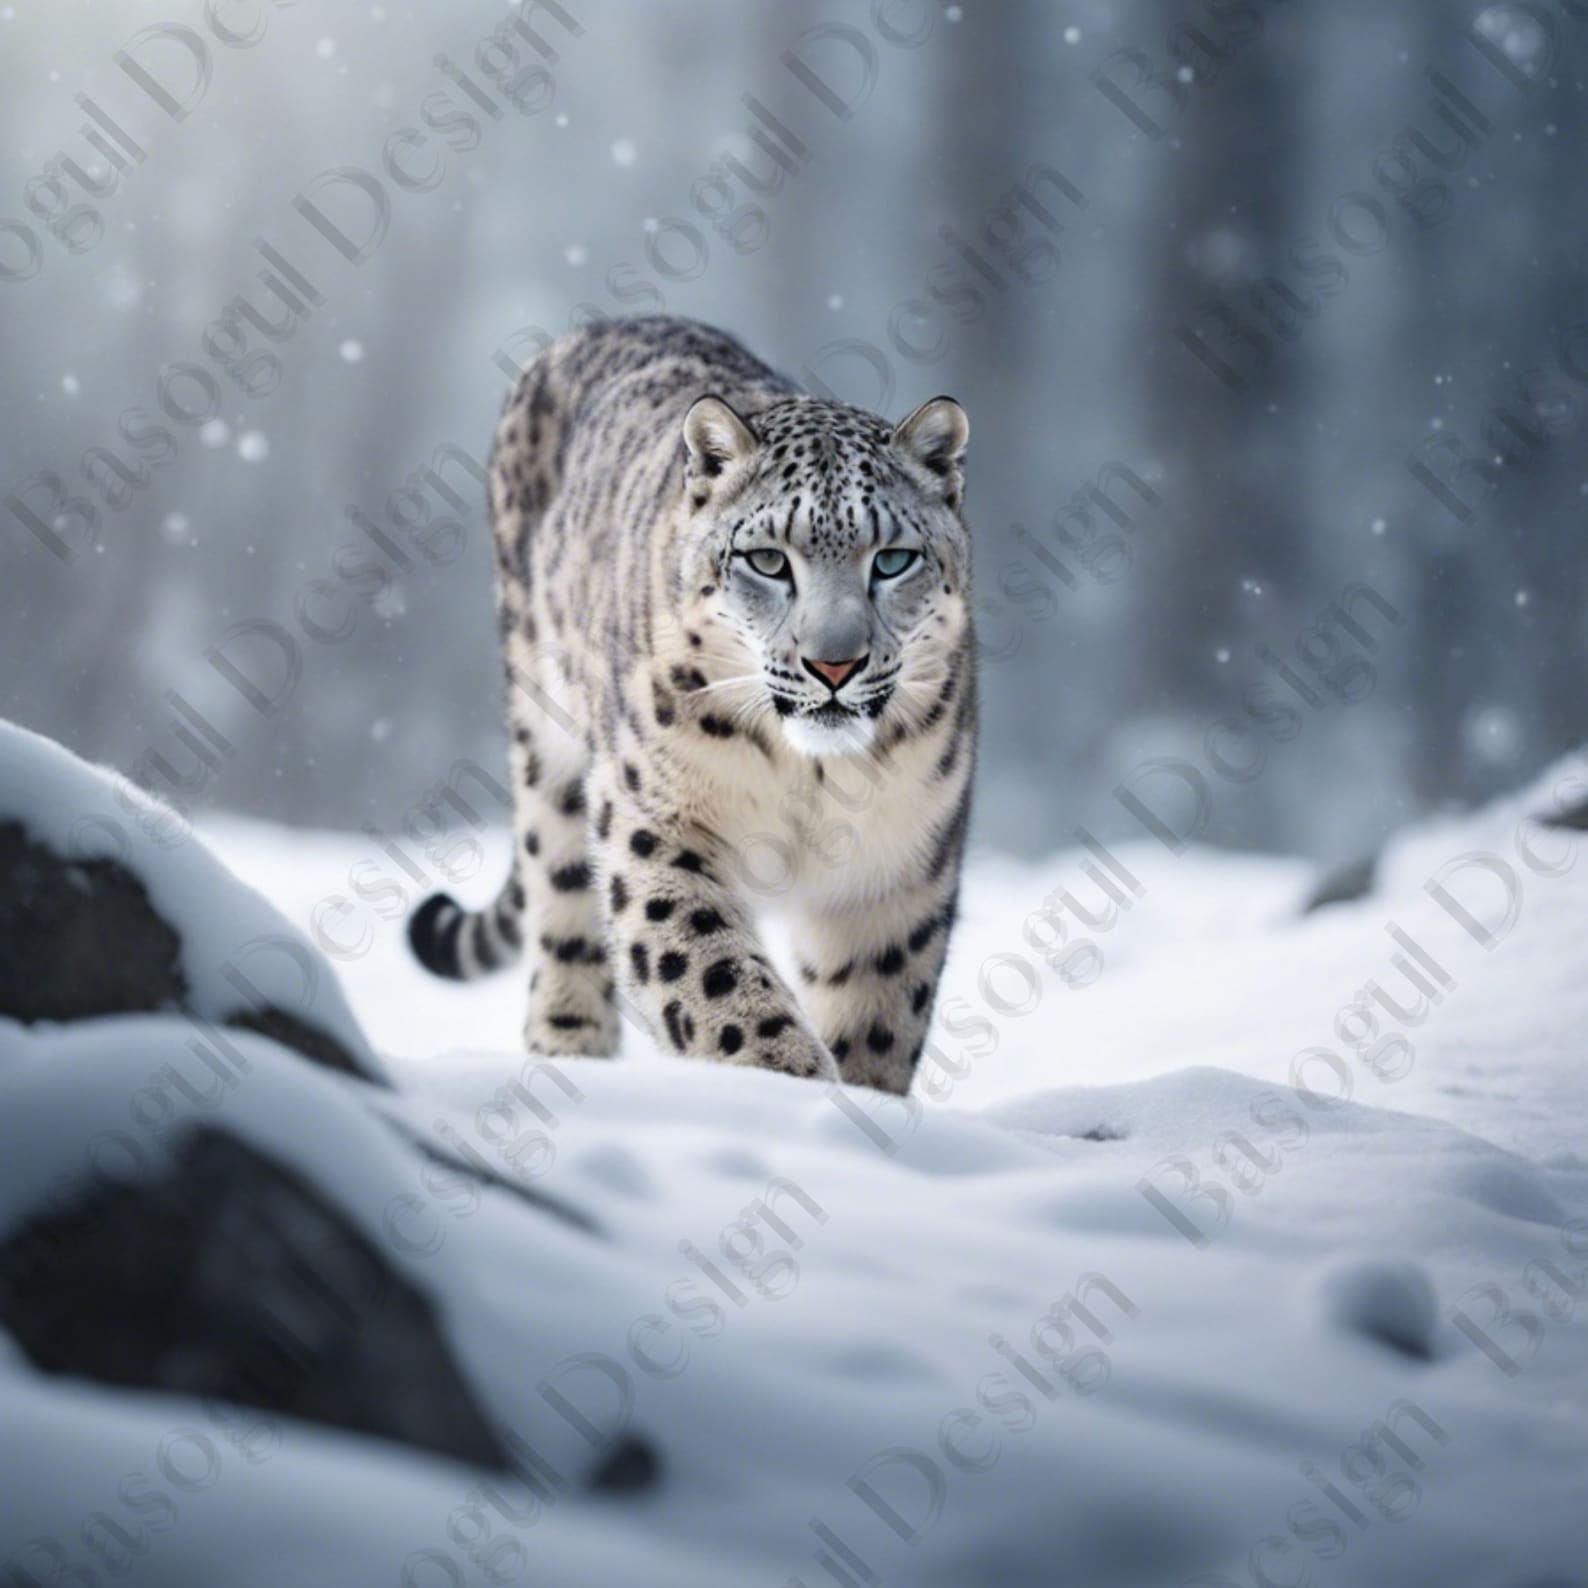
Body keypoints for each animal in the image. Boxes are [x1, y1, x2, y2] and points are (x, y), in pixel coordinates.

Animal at [408, 315, 975, 1094]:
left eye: (892, 560)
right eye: (768, 560)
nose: (834, 663)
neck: (811, 778)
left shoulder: (899, 864)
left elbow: (877, 1007)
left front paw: (860, 1104)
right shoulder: (657, 820)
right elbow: (713, 974)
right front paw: (786, 1082)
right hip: (546, 739)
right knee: (560, 901)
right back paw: (570, 1054)